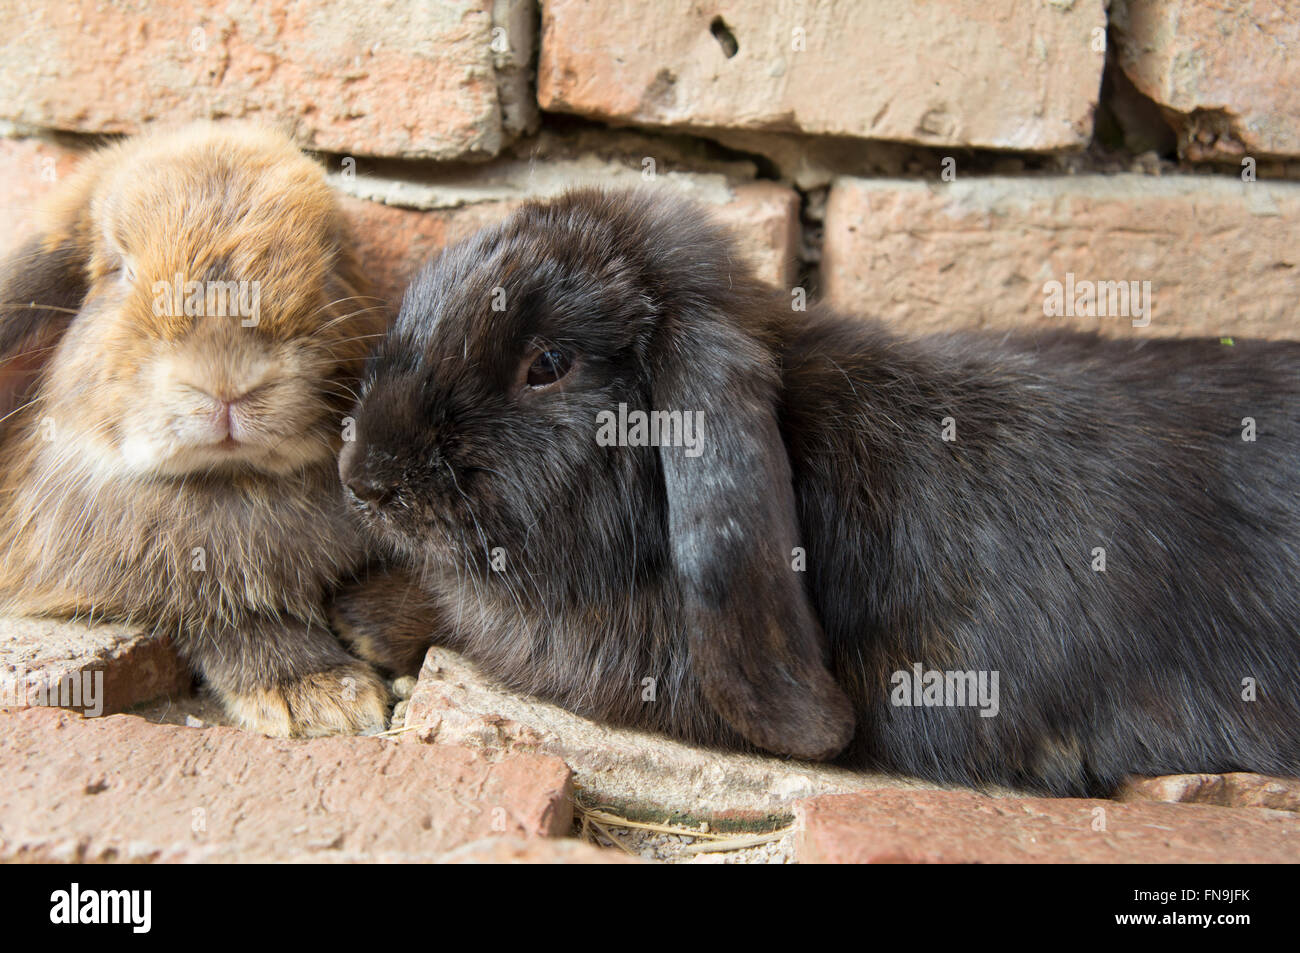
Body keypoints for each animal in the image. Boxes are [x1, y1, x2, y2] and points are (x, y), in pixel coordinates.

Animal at [0, 122, 400, 737]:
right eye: (120, 269)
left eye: (331, 260)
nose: (227, 377)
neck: (231, 480)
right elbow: (232, 618)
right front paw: (324, 698)